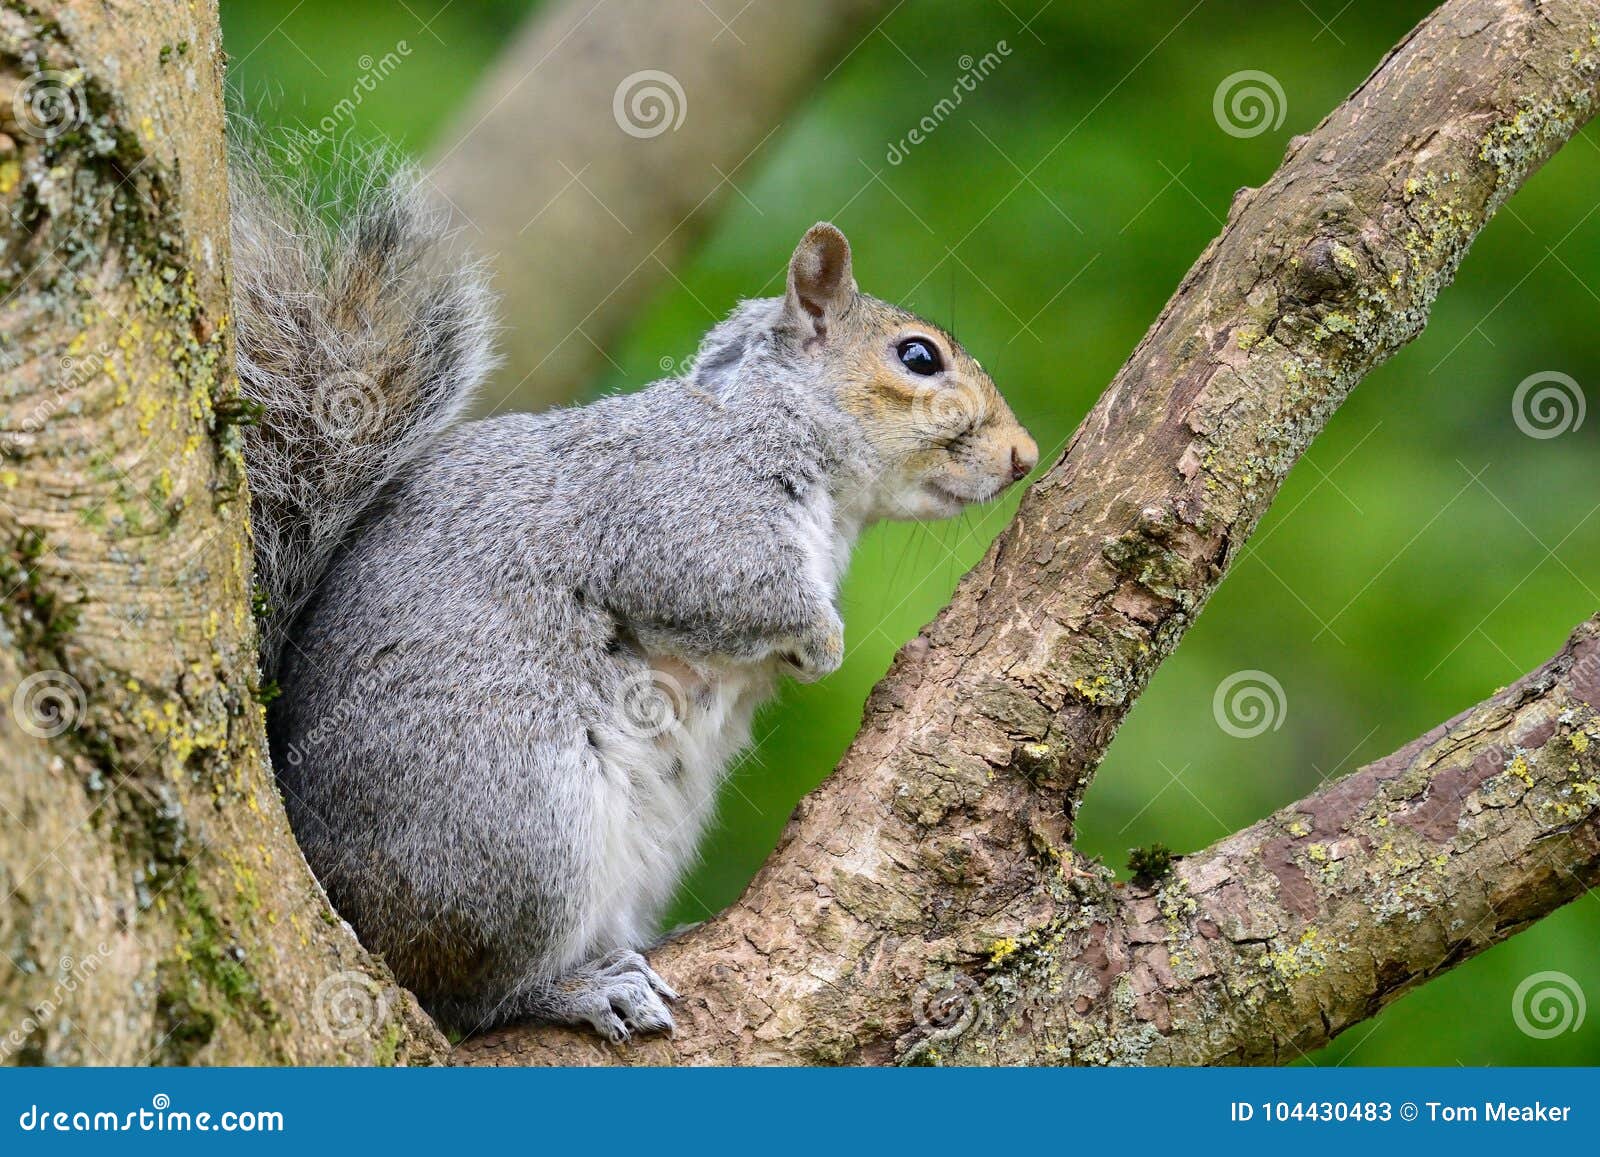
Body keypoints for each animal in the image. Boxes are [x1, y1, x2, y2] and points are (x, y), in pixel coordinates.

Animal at [233, 152, 1038, 1041]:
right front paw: (823, 642)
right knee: (464, 995)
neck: (776, 422)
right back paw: (580, 989)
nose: (1025, 455)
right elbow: (725, 588)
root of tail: (338, 890)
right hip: (520, 827)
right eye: (919, 357)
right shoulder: (677, 510)